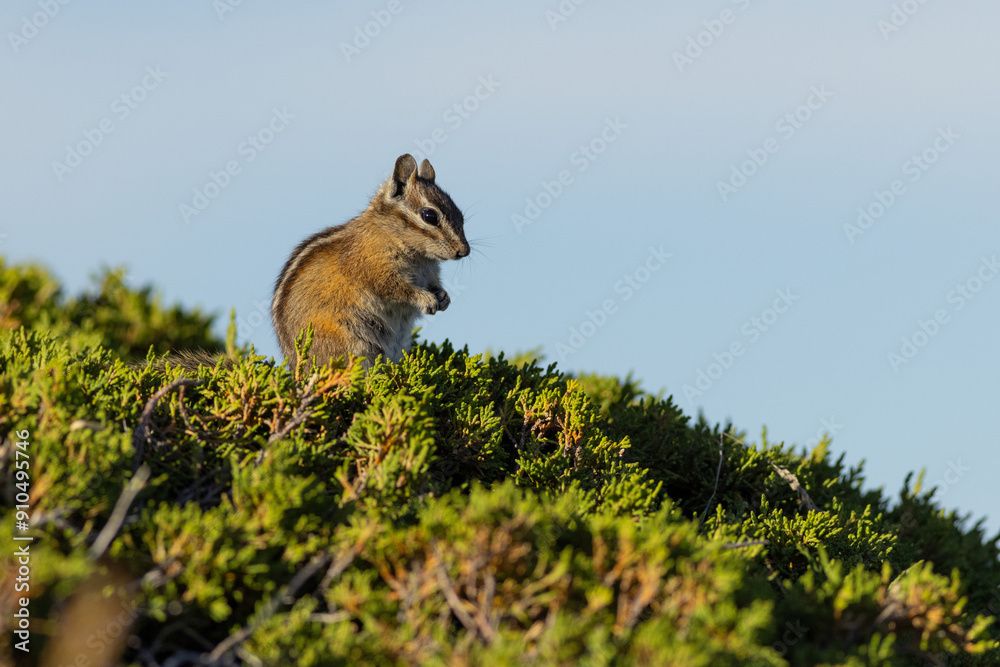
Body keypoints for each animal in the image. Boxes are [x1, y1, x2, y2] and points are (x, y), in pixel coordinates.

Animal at [271, 154, 469, 372]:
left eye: (460, 214)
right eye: (429, 216)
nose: (464, 251)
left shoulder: (430, 274)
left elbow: (434, 285)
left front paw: (443, 297)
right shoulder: (375, 270)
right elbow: (398, 288)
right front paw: (426, 299)